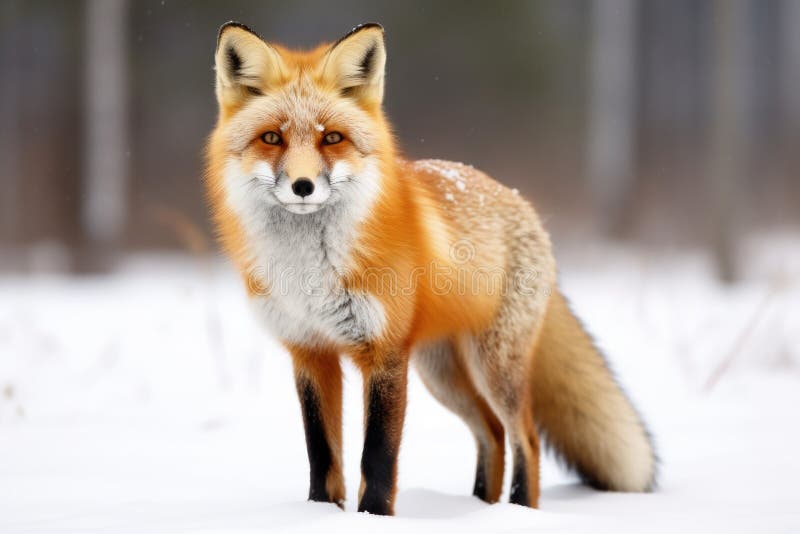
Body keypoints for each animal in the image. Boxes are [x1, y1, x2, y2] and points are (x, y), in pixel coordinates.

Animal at [205, 21, 657, 516]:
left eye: (332, 138)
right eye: (272, 138)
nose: (302, 186)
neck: (310, 272)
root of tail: (518, 199)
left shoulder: (384, 354)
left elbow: (377, 458)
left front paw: (374, 517)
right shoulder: (309, 351)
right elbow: (322, 455)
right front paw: (320, 513)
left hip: (493, 368)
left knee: (526, 438)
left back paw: (517, 510)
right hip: (443, 375)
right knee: (492, 435)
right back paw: (478, 506)